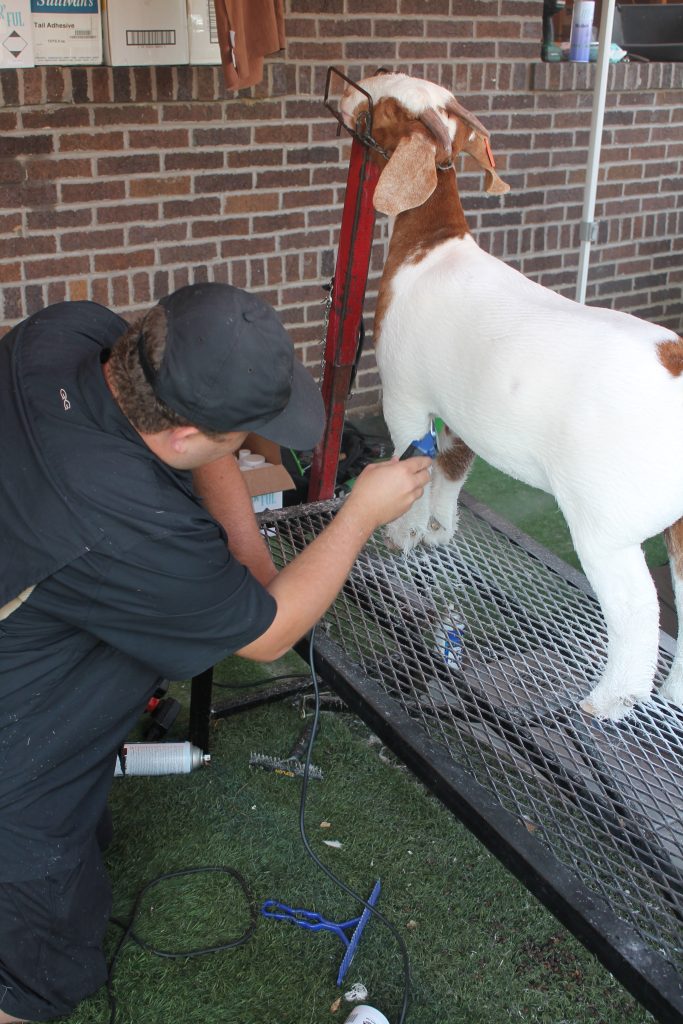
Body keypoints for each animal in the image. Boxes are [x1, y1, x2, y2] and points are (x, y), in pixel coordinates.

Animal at [340, 71, 683, 722]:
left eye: (386, 100)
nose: (346, 95)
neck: (431, 248)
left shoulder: (404, 393)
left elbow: (412, 463)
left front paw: (403, 535)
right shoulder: (462, 410)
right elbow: (450, 467)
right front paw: (439, 532)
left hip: (605, 522)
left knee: (637, 608)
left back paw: (609, 702)